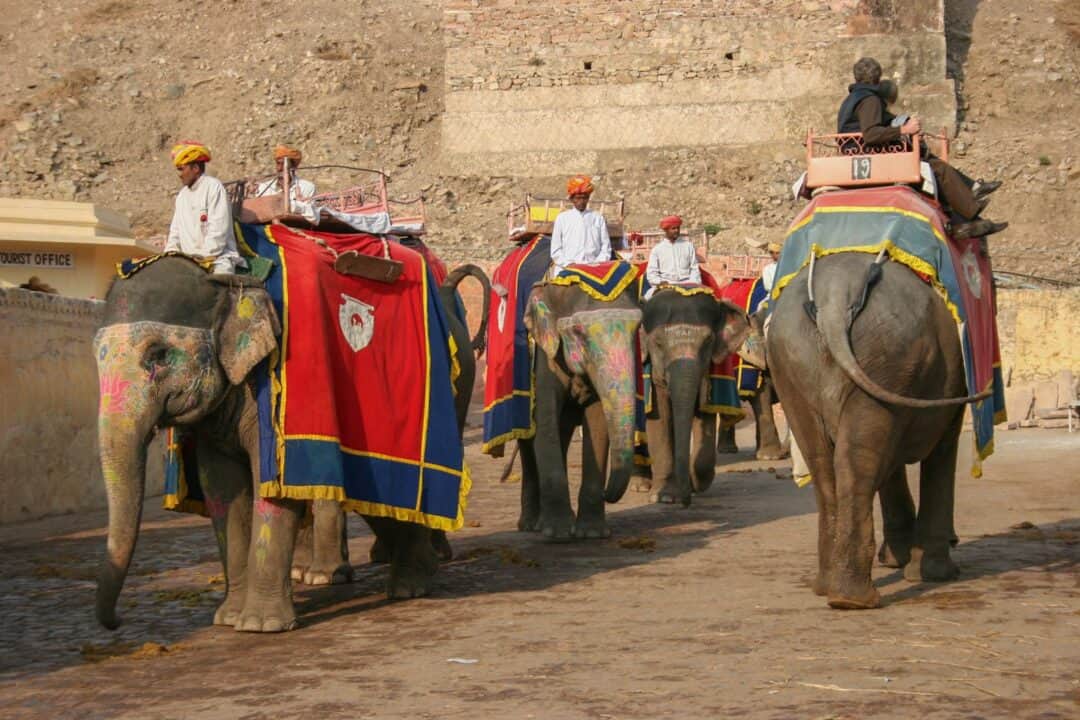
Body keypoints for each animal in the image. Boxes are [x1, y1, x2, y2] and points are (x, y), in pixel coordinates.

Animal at [93, 256, 467, 632]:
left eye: (158, 354)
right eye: (96, 356)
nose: (117, 622)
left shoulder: (283, 385)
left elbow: (272, 485)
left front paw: (261, 625)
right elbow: (222, 490)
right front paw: (228, 619)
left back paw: (410, 587)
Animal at [517, 280, 642, 540]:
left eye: (637, 328)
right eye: (578, 332)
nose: (608, 493)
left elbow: (597, 421)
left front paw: (592, 533)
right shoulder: (545, 356)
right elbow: (545, 421)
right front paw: (558, 533)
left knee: (563, 432)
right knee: (527, 440)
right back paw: (531, 525)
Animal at [634, 288, 751, 506]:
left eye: (708, 341)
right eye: (658, 343)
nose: (685, 502)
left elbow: (704, 415)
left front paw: (694, 484)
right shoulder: (652, 372)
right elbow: (659, 419)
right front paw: (664, 497)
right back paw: (641, 485)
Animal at [766, 253, 990, 609]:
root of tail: (835, 291)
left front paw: (899, 560)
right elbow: (942, 448)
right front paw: (935, 572)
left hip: (793, 360)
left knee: (827, 462)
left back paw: (832, 590)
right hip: (889, 354)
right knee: (857, 461)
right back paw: (856, 598)